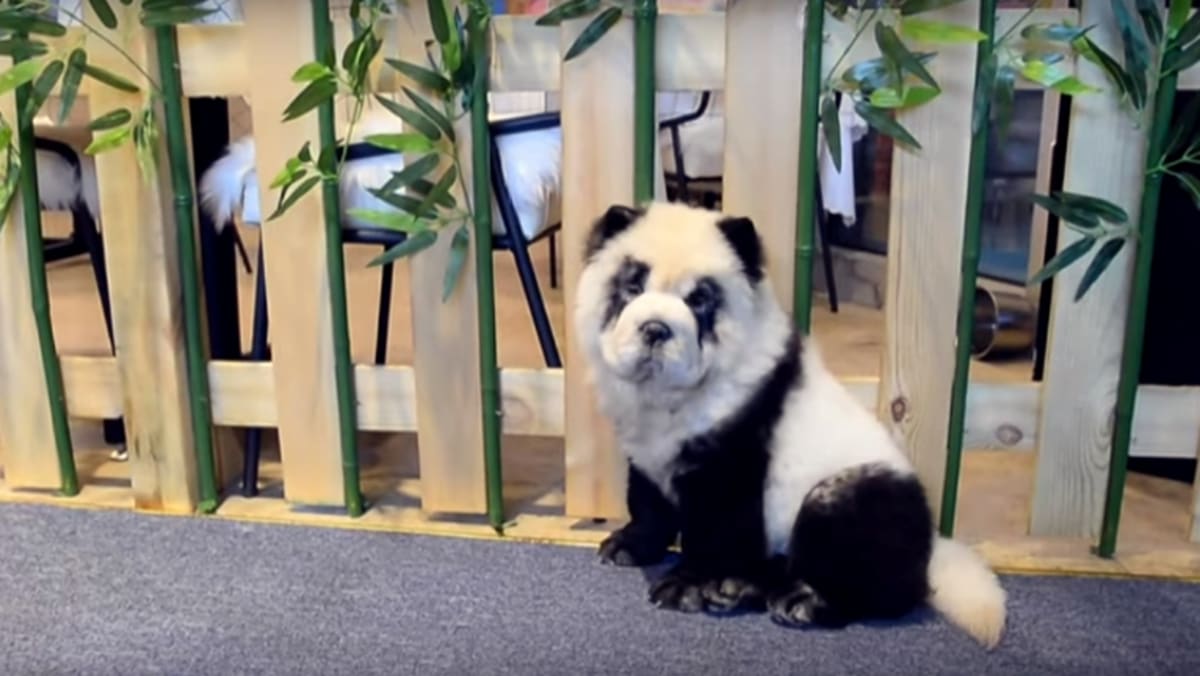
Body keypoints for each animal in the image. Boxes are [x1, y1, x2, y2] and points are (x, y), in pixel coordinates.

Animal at [573, 201, 1007, 648]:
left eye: (699, 300)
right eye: (632, 287)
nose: (656, 329)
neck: (669, 398)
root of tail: (932, 548)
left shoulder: (731, 459)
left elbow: (711, 529)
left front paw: (682, 586)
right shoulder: (644, 450)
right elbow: (646, 501)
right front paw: (629, 545)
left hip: (849, 499)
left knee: (872, 584)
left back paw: (800, 601)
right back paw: (738, 587)